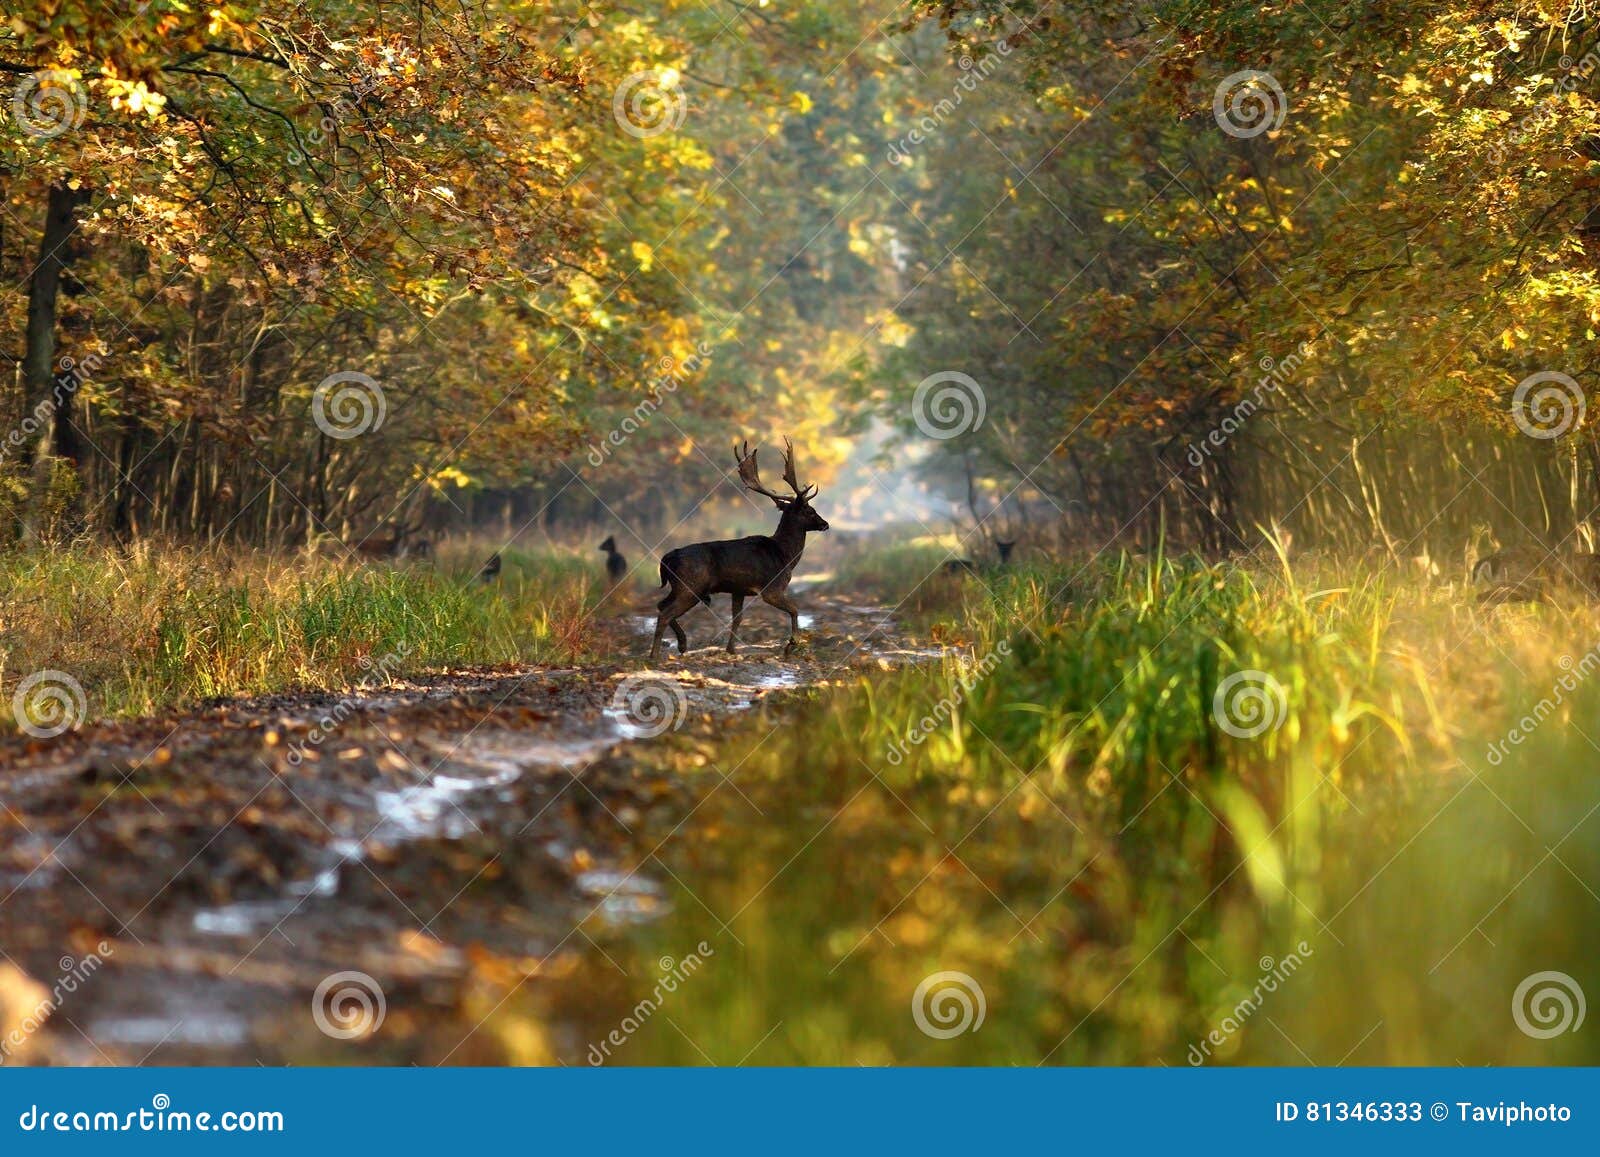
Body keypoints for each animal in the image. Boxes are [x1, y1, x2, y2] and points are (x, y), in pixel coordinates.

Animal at [648, 437, 829, 663]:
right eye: (809, 510)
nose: (825, 524)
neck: (785, 555)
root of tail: (667, 559)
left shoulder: (738, 589)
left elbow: (737, 618)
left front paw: (731, 649)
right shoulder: (771, 587)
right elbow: (794, 609)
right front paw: (791, 644)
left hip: (681, 587)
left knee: (661, 605)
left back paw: (682, 644)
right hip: (690, 585)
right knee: (665, 613)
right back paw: (655, 655)